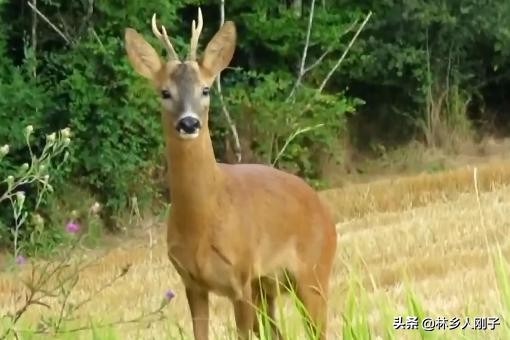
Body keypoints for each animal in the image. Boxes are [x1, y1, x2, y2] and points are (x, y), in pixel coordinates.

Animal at [124, 7, 338, 340]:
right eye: (165, 92)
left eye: (205, 88)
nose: (189, 123)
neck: (202, 220)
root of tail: (326, 213)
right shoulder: (192, 282)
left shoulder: (240, 276)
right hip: (268, 286)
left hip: (313, 273)